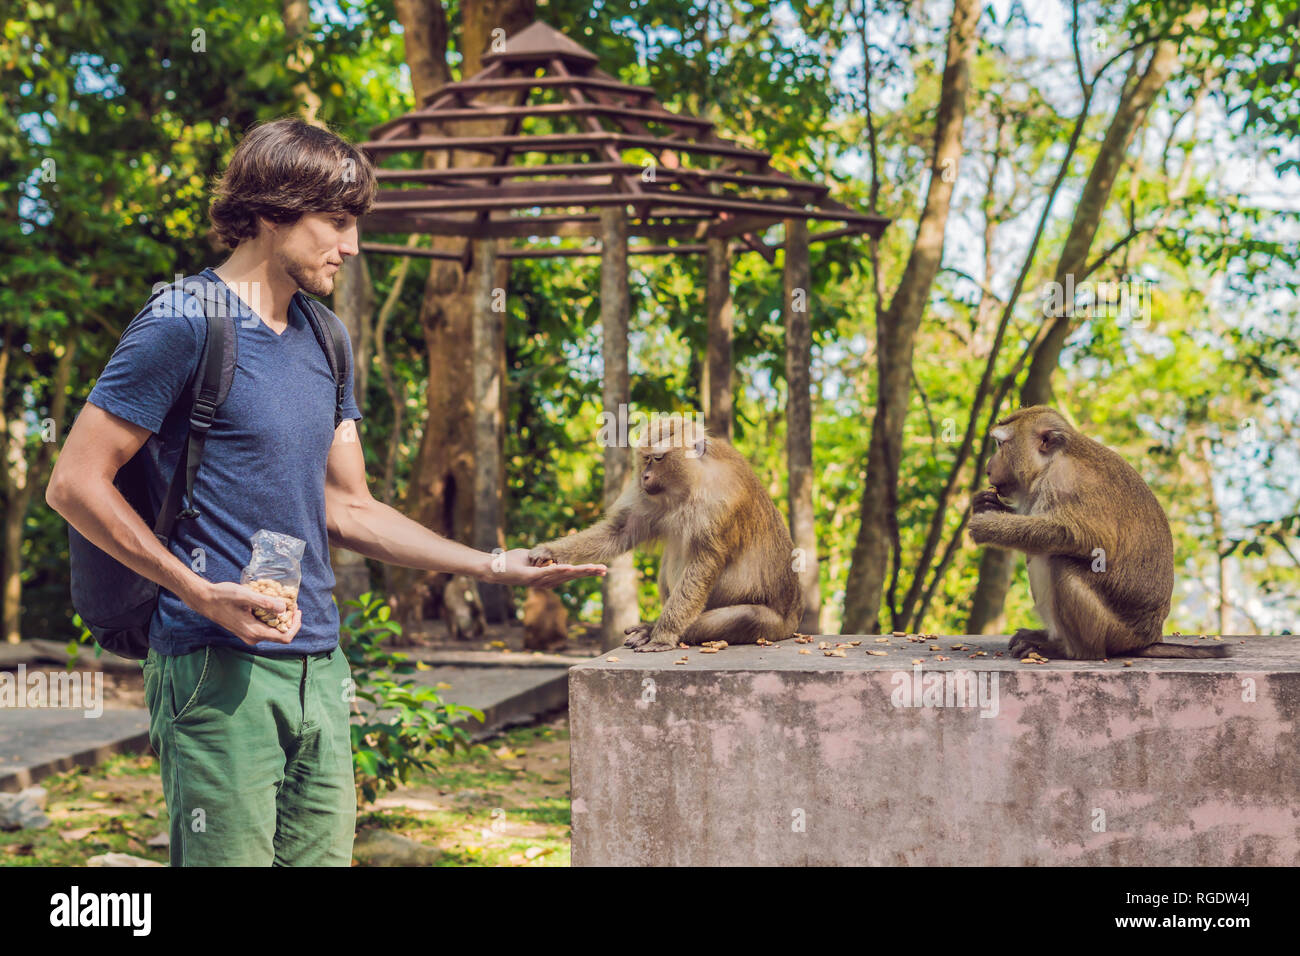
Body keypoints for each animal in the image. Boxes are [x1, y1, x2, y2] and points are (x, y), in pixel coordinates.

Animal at [527, 417, 803, 653]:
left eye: (658, 458)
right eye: (645, 458)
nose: (644, 476)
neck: (693, 484)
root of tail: (793, 620)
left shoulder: (721, 505)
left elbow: (703, 564)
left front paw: (662, 635)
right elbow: (620, 531)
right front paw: (549, 551)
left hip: (773, 626)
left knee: (748, 617)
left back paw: (654, 631)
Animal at [967, 405, 1228, 660]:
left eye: (1000, 445)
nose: (988, 468)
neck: (1051, 462)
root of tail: (1147, 638)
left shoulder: (1066, 482)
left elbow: (1090, 539)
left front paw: (990, 527)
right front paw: (988, 505)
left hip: (1114, 631)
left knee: (1061, 561)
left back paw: (1069, 650)